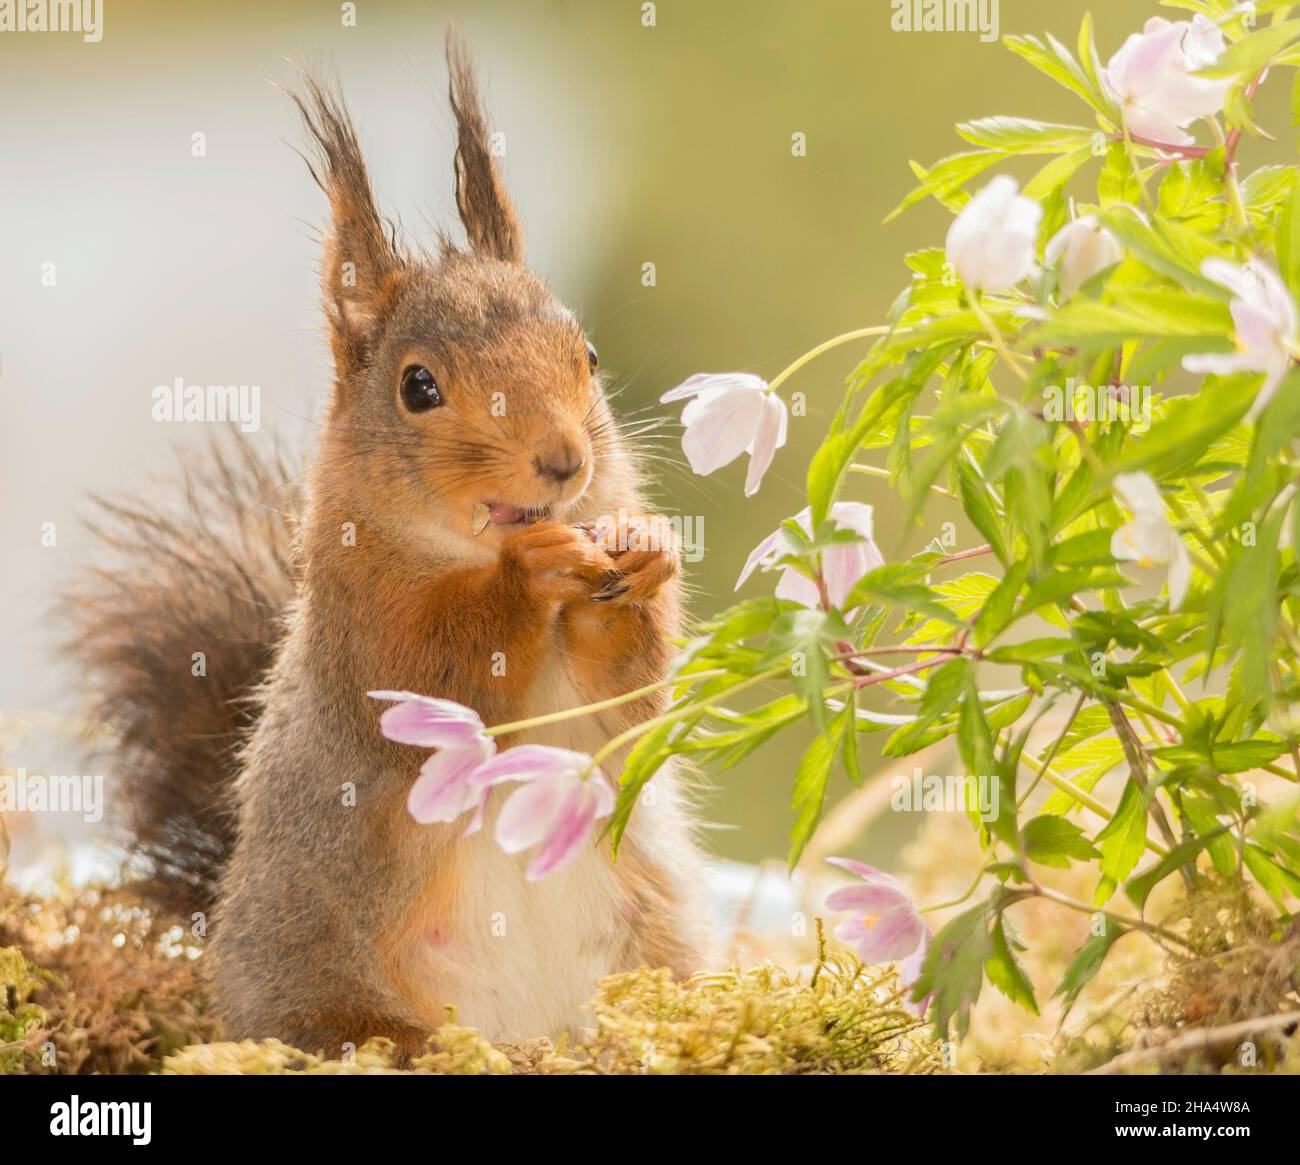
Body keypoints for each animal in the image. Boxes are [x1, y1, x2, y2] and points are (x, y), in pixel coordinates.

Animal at [66, 35, 714, 1055]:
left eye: (589, 357)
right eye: (418, 387)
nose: (565, 460)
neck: (464, 551)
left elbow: (630, 705)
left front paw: (644, 550)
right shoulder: (358, 626)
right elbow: (432, 672)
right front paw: (529, 577)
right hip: (320, 955)